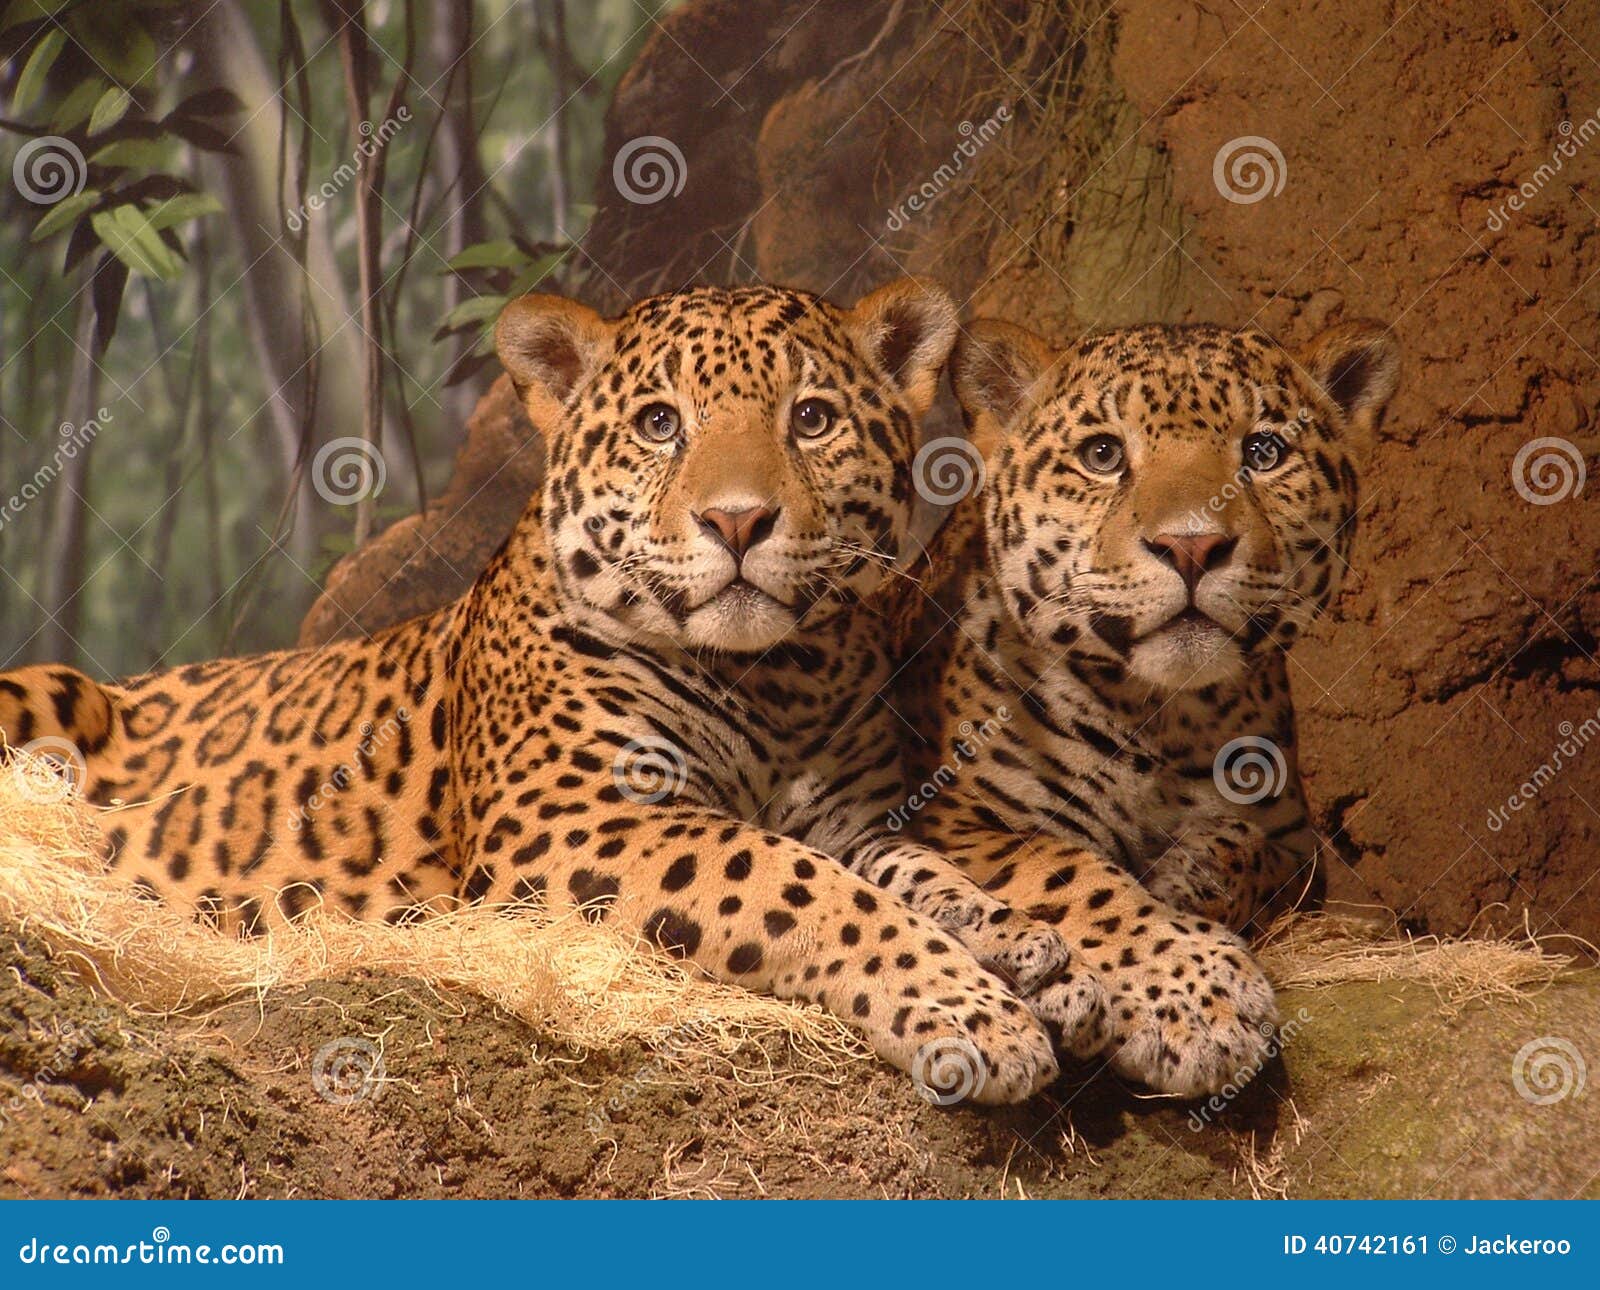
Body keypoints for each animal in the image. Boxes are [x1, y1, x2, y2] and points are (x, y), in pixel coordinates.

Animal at [0, 279, 1081, 1105]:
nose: (738, 522)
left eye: (811, 420)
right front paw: (976, 1016)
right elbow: (798, 884)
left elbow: (912, 873)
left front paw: (1027, 946)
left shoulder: (852, 818)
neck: (776, 679)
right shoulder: (570, 824)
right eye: (659, 424)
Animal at [892, 314, 1399, 1096]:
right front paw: (1194, 999)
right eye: (1102, 455)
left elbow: (1244, 849)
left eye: (1264, 451)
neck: (1163, 715)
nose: (1192, 545)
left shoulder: (1295, 844)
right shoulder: (953, 817)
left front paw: (1188, 877)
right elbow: (1069, 869)